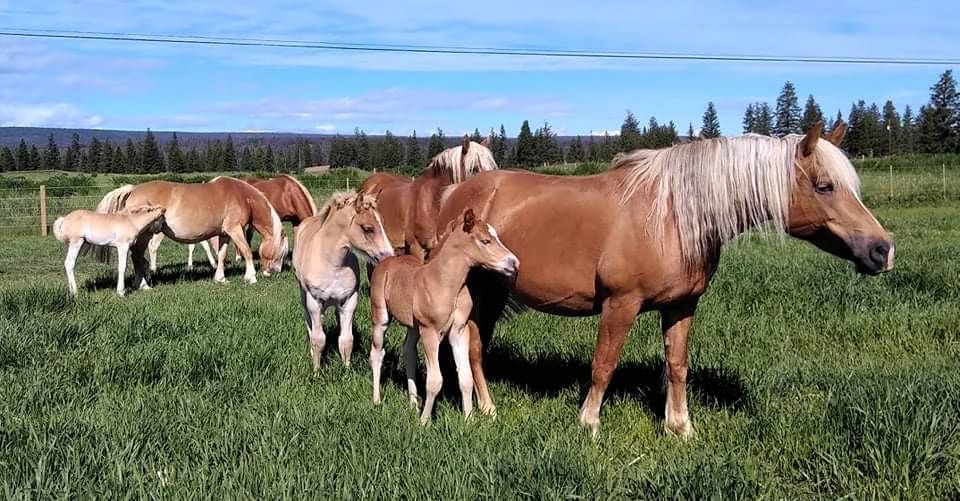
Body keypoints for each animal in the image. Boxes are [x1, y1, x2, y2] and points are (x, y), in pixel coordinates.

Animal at [96, 176, 288, 289]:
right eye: (283, 252)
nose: (274, 271)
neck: (241, 196)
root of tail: (133, 189)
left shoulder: (225, 233)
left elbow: (221, 255)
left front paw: (220, 278)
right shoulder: (235, 230)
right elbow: (247, 251)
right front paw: (251, 277)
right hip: (145, 234)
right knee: (136, 256)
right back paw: (143, 285)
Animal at [293, 192, 393, 372]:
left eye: (382, 223)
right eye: (368, 228)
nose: (389, 256)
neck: (332, 263)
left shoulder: (349, 300)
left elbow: (346, 340)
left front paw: (346, 370)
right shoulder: (314, 301)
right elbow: (318, 339)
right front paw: (316, 372)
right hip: (304, 294)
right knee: (308, 322)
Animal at [369, 208, 519, 423]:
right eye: (485, 241)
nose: (514, 263)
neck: (446, 282)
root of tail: (387, 260)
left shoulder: (458, 331)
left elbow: (465, 378)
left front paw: (469, 419)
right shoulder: (430, 331)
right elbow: (435, 380)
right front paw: (424, 422)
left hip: (415, 326)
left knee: (408, 352)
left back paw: (413, 403)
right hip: (381, 316)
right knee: (377, 353)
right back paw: (377, 400)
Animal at [436, 121, 895, 438]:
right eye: (825, 185)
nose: (883, 250)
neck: (673, 216)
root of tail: (458, 195)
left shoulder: (682, 305)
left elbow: (676, 365)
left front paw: (680, 428)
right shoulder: (620, 304)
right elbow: (604, 365)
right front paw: (588, 424)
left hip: (494, 291)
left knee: (475, 347)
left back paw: (486, 408)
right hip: (480, 292)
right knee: (472, 347)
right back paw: (488, 410)